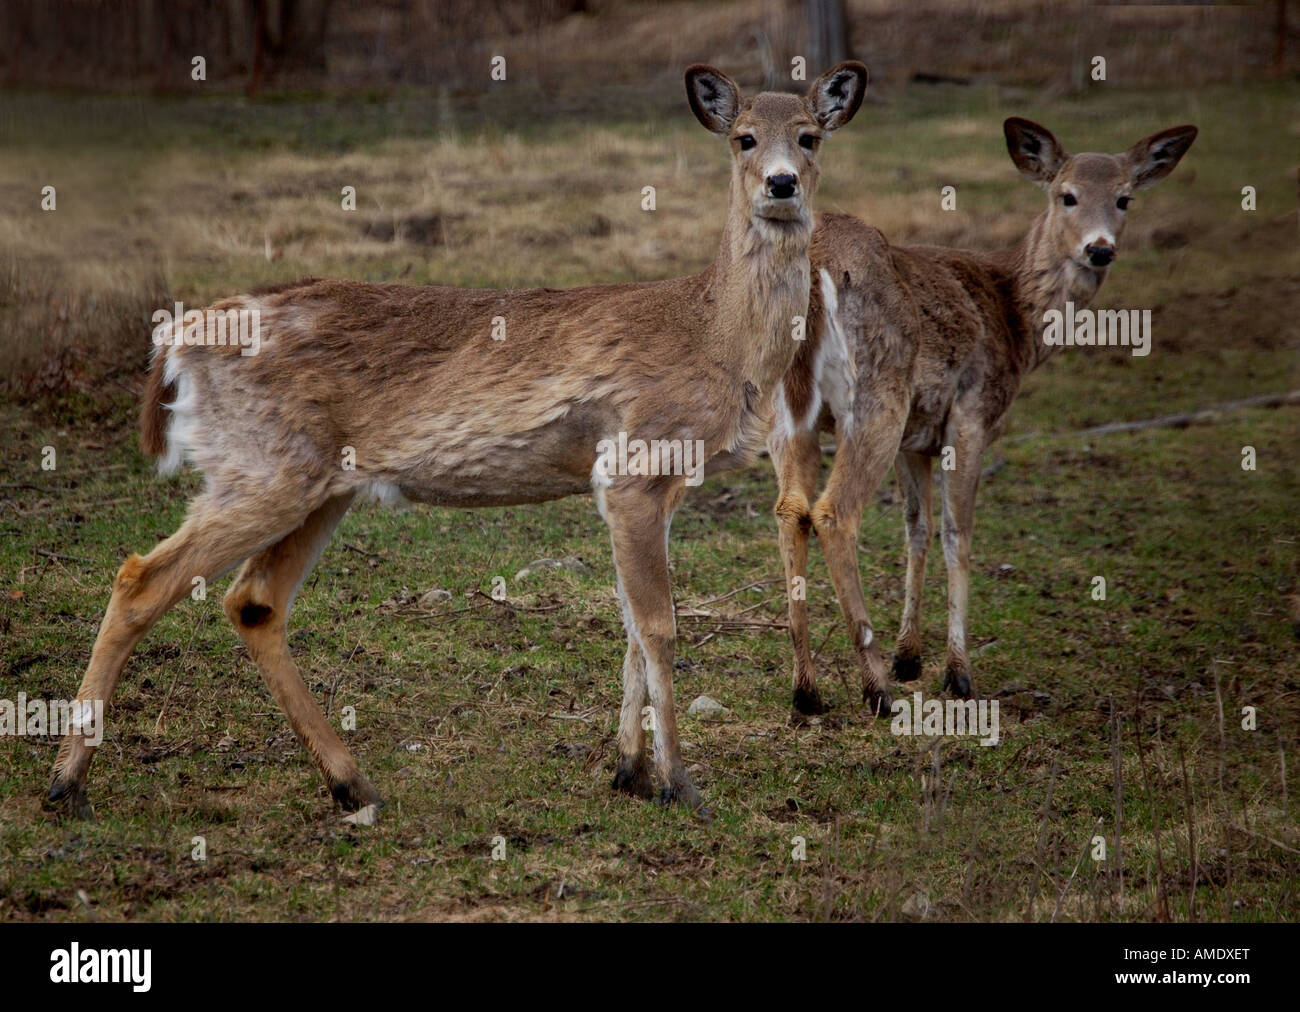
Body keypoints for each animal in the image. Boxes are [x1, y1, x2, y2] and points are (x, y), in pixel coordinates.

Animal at [47, 62, 869, 823]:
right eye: (744, 138)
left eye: (810, 135)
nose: (783, 184)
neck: (716, 336)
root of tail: (177, 343)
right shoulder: (636, 463)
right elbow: (661, 625)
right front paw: (680, 784)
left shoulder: (642, 486)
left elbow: (633, 626)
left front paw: (629, 772)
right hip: (262, 467)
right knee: (142, 578)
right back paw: (67, 782)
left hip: (317, 486)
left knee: (252, 602)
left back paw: (351, 783)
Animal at [770, 116, 1197, 720]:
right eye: (1066, 195)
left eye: (1124, 198)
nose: (1100, 250)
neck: (1013, 312)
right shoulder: (971, 415)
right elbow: (958, 533)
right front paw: (957, 672)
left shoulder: (916, 438)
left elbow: (917, 528)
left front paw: (909, 656)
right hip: (876, 396)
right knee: (833, 512)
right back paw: (875, 690)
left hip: (789, 410)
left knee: (790, 510)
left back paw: (807, 689)